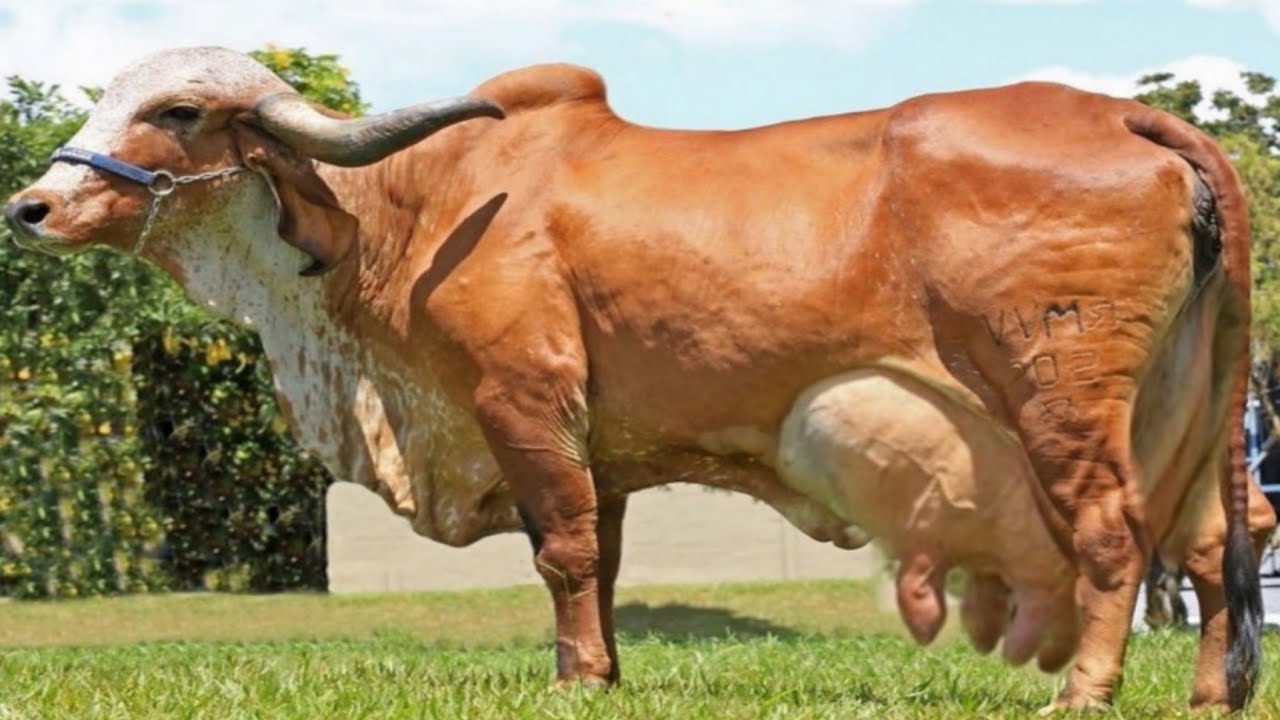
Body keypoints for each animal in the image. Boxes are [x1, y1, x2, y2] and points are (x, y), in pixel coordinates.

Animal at [4, 47, 1276, 712]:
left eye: (176, 110)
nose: (33, 206)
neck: (403, 209)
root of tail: (1124, 114)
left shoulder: (519, 403)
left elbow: (559, 552)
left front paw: (572, 681)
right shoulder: (596, 448)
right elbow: (601, 561)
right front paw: (604, 671)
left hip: (1059, 396)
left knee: (1113, 536)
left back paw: (1085, 692)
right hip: (1186, 404)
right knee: (1221, 536)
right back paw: (1208, 692)